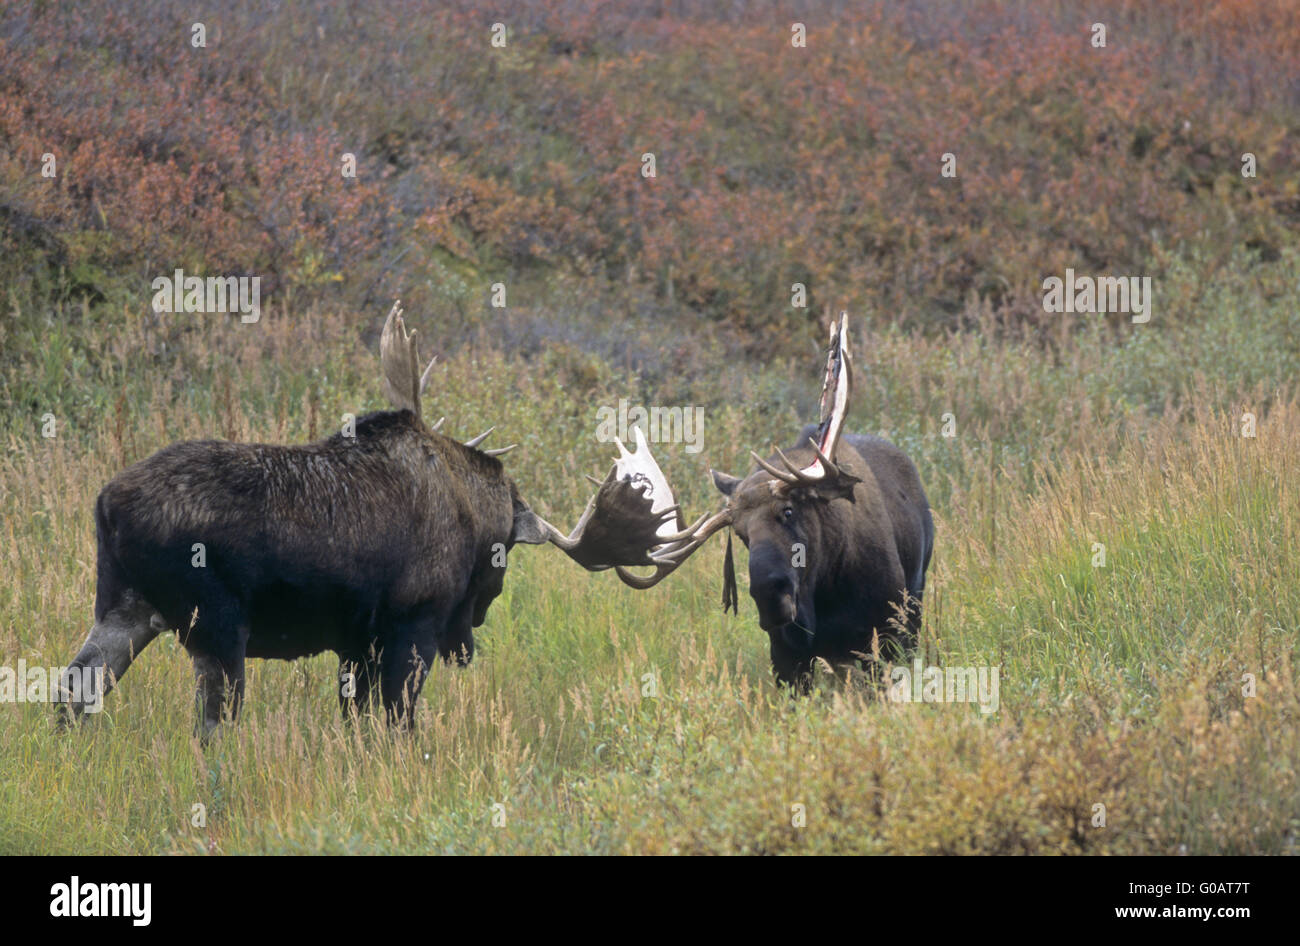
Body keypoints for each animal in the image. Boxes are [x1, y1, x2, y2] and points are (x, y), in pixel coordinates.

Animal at [57, 302, 691, 737]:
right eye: (504, 553)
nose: (474, 630)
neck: (473, 510)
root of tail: (106, 502)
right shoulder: (412, 627)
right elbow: (400, 723)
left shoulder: (356, 644)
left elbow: (356, 723)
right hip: (214, 625)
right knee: (210, 727)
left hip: (122, 607)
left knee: (73, 692)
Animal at [611, 315, 934, 692]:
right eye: (741, 535)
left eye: (788, 510)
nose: (770, 599)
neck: (825, 595)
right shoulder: (787, 656)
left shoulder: (885, 635)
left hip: (916, 601)